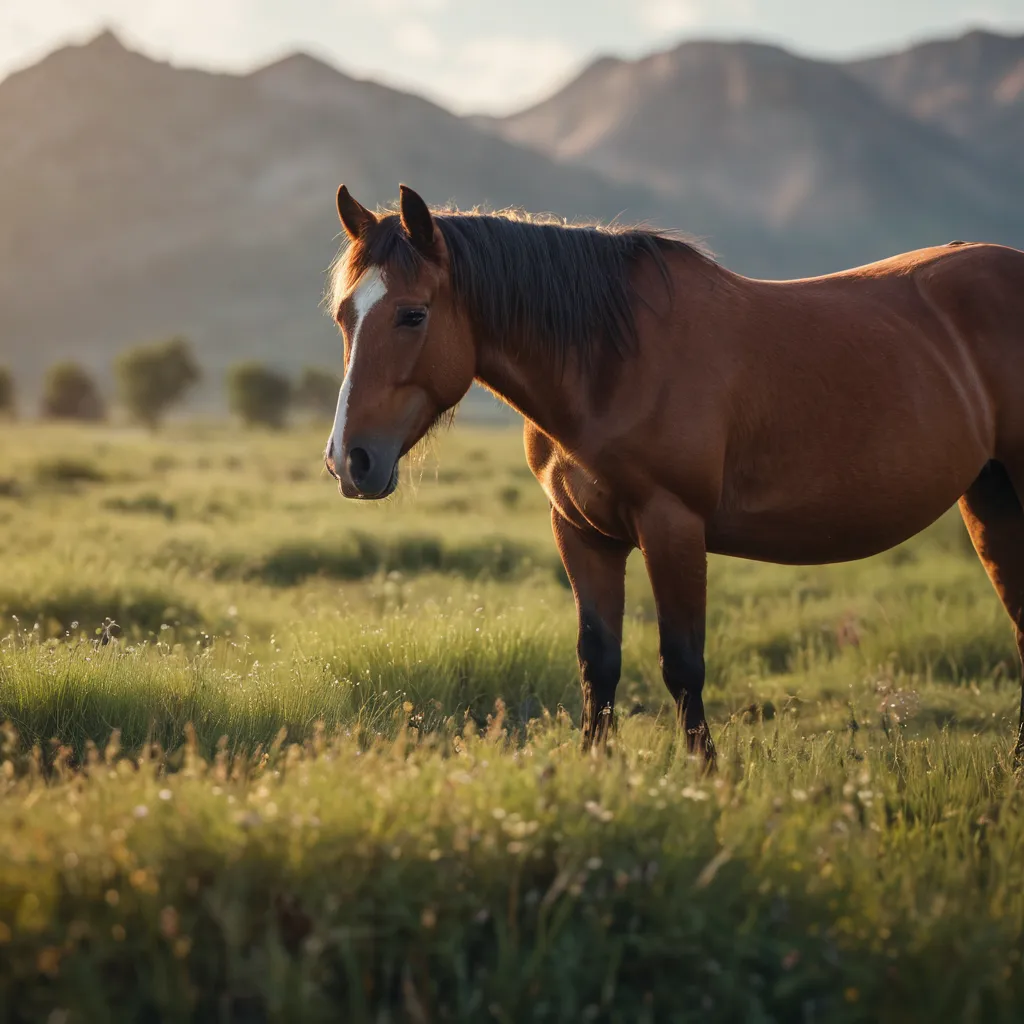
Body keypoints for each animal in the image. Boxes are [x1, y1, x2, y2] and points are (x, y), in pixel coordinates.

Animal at [323, 182, 1024, 767]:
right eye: (343, 316)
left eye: (413, 314)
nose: (349, 461)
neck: (612, 362)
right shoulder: (582, 534)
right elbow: (598, 661)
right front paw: (595, 770)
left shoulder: (673, 526)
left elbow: (682, 664)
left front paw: (704, 776)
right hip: (990, 499)